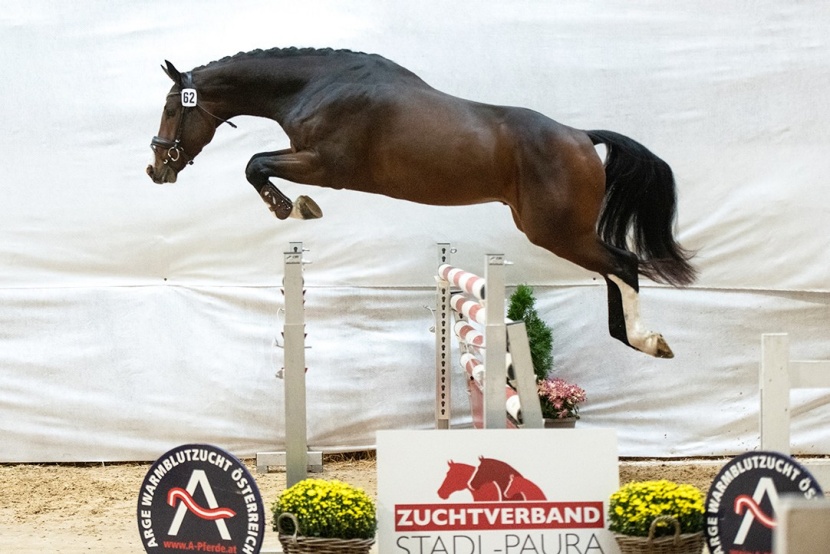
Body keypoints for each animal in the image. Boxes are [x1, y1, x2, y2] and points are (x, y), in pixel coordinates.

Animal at [147, 47, 696, 358]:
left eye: (173, 108)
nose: (156, 169)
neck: (319, 85)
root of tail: (581, 137)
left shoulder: (326, 166)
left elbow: (255, 164)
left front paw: (294, 207)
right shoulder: (311, 159)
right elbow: (258, 163)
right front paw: (295, 207)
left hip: (556, 231)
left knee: (622, 264)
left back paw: (646, 340)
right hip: (556, 230)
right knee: (613, 270)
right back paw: (629, 337)